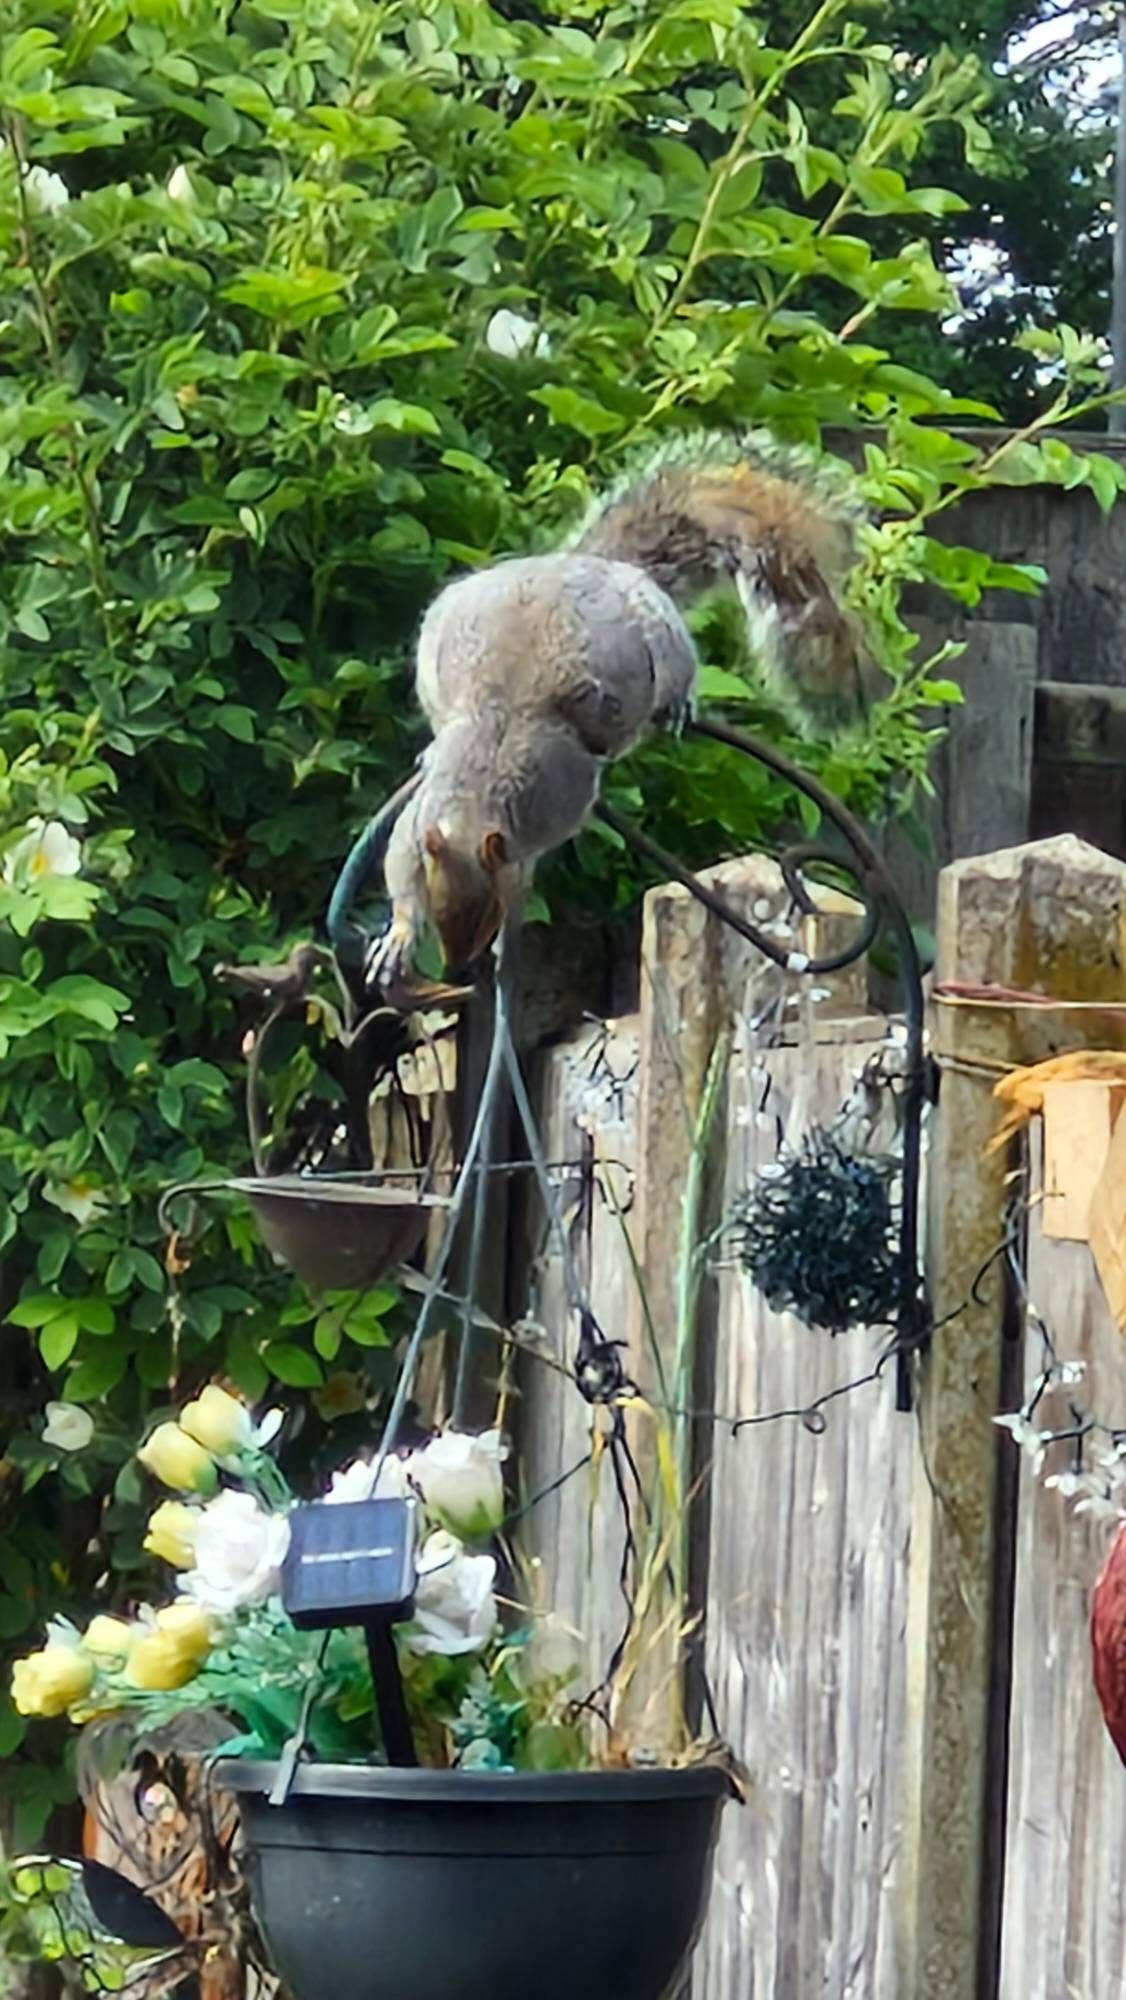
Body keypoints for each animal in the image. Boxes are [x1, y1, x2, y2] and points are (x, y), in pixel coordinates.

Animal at [373, 433, 866, 984]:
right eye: (440, 911)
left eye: (484, 915)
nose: (458, 968)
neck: (476, 799)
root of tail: (599, 566)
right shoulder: (423, 820)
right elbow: (398, 860)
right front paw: (399, 935)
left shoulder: (554, 806)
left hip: (665, 639)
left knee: (677, 671)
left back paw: (677, 703)